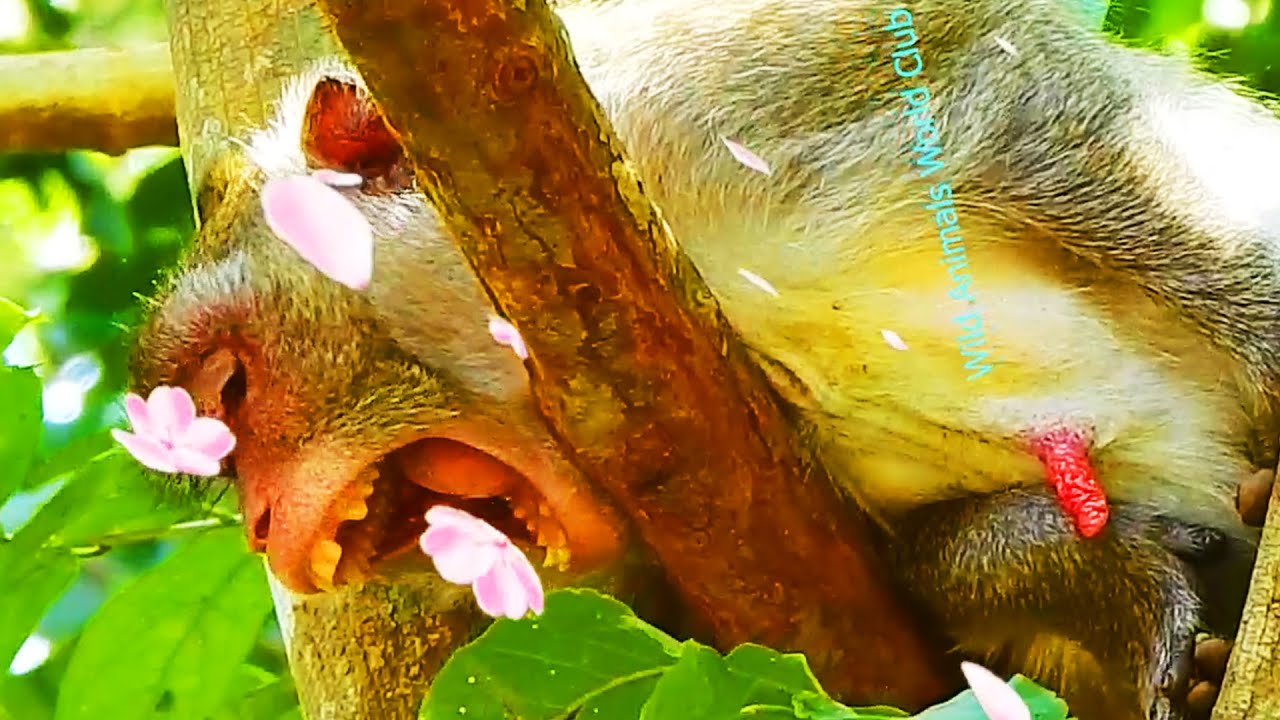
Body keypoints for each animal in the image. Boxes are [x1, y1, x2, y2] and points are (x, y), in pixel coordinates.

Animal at [130, 0, 1280, 718]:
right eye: (222, 460)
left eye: (233, 384)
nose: (260, 520)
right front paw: (1095, 570)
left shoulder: (746, 77)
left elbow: (1053, 128)